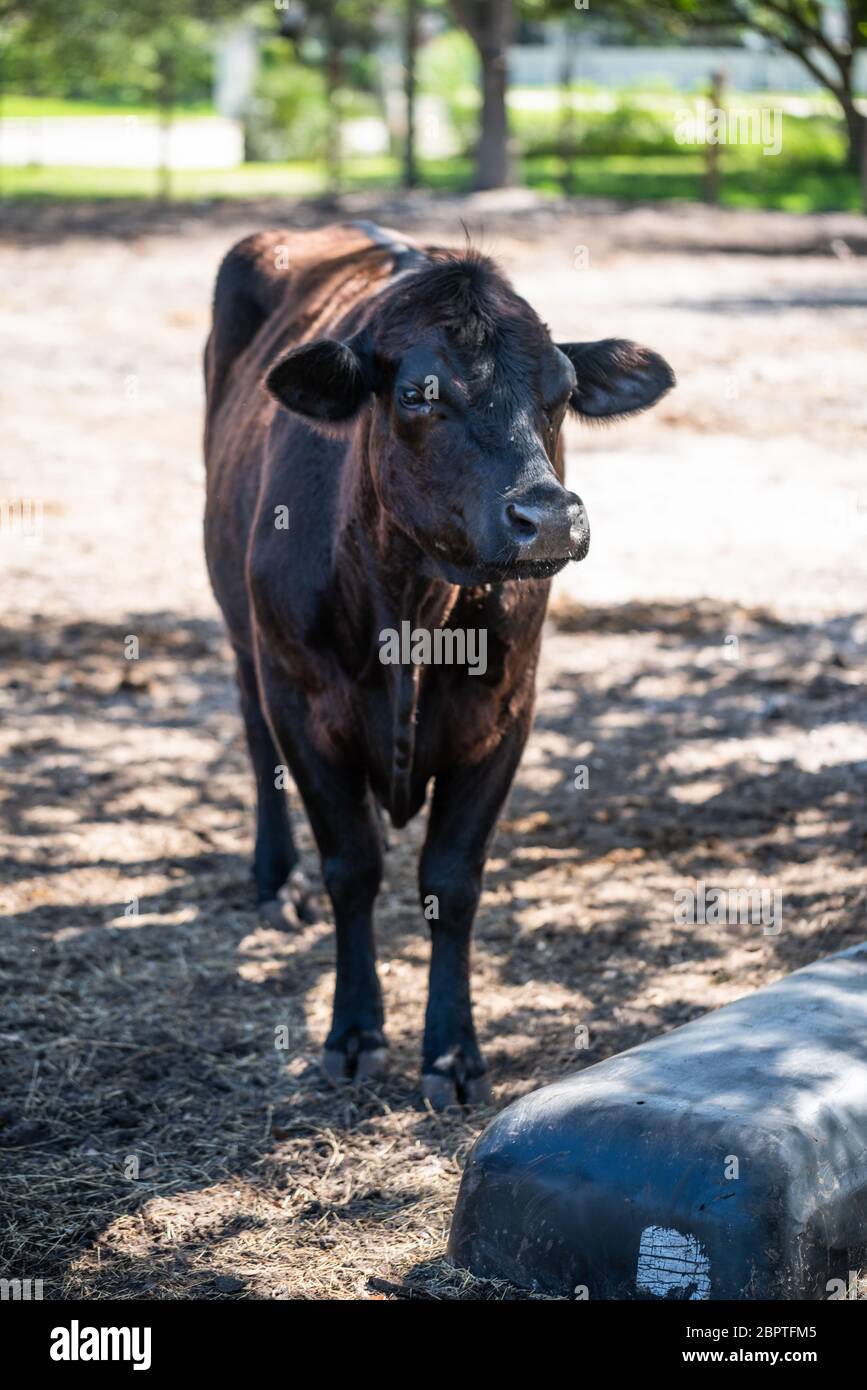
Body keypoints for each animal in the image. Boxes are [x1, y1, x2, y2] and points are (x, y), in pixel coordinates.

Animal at [204, 221, 674, 1108]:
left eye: (562, 390)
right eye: (417, 395)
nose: (547, 518)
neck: (411, 602)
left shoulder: (503, 714)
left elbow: (450, 882)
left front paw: (452, 1051)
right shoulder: (303, 705)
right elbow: (352, 866)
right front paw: (354, 1034)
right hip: (242, 631)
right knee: (251, 735)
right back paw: (275, 881)